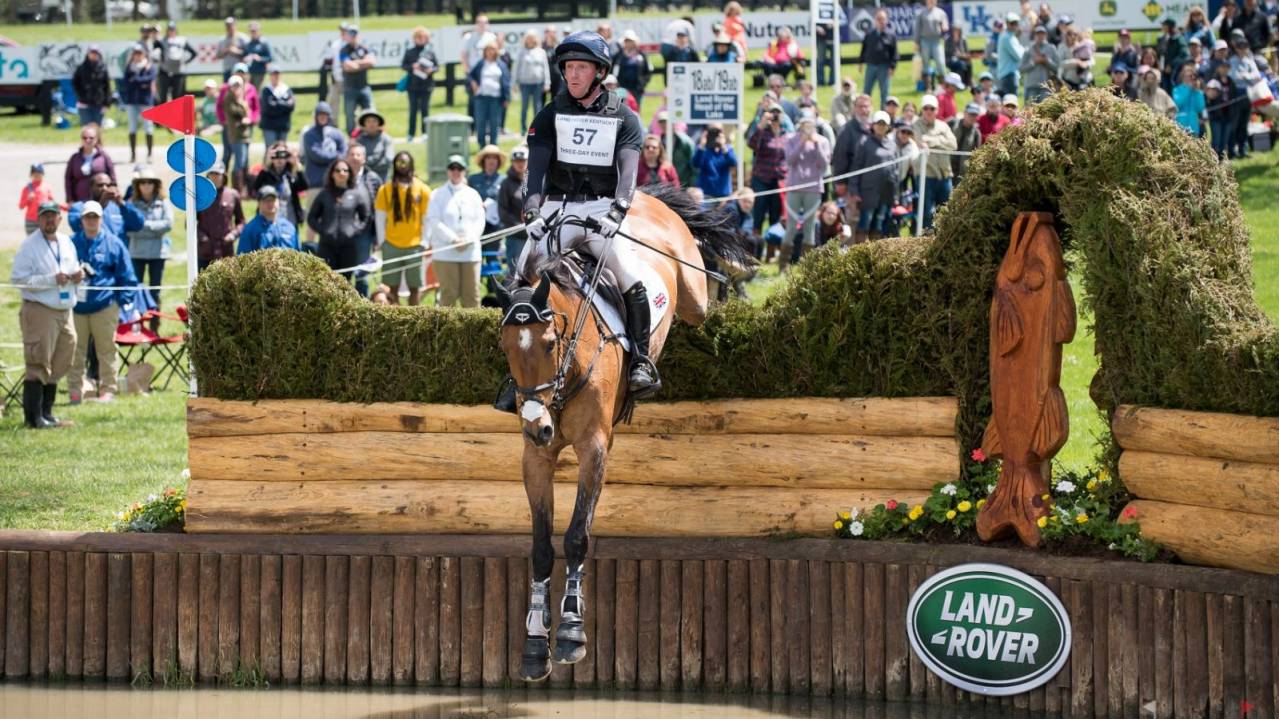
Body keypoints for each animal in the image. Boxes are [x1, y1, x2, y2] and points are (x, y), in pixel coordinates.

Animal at [494, 184, 752, 681]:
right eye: (505, 346)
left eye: (550, 343)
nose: (538, 425)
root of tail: (649, 199)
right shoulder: (535, 457)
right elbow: (541, 545)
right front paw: (535, 644)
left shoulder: (594, 448)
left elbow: (576, 535)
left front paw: (571, 633)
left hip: (691, 297)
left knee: (703, 293)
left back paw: (733, 279)